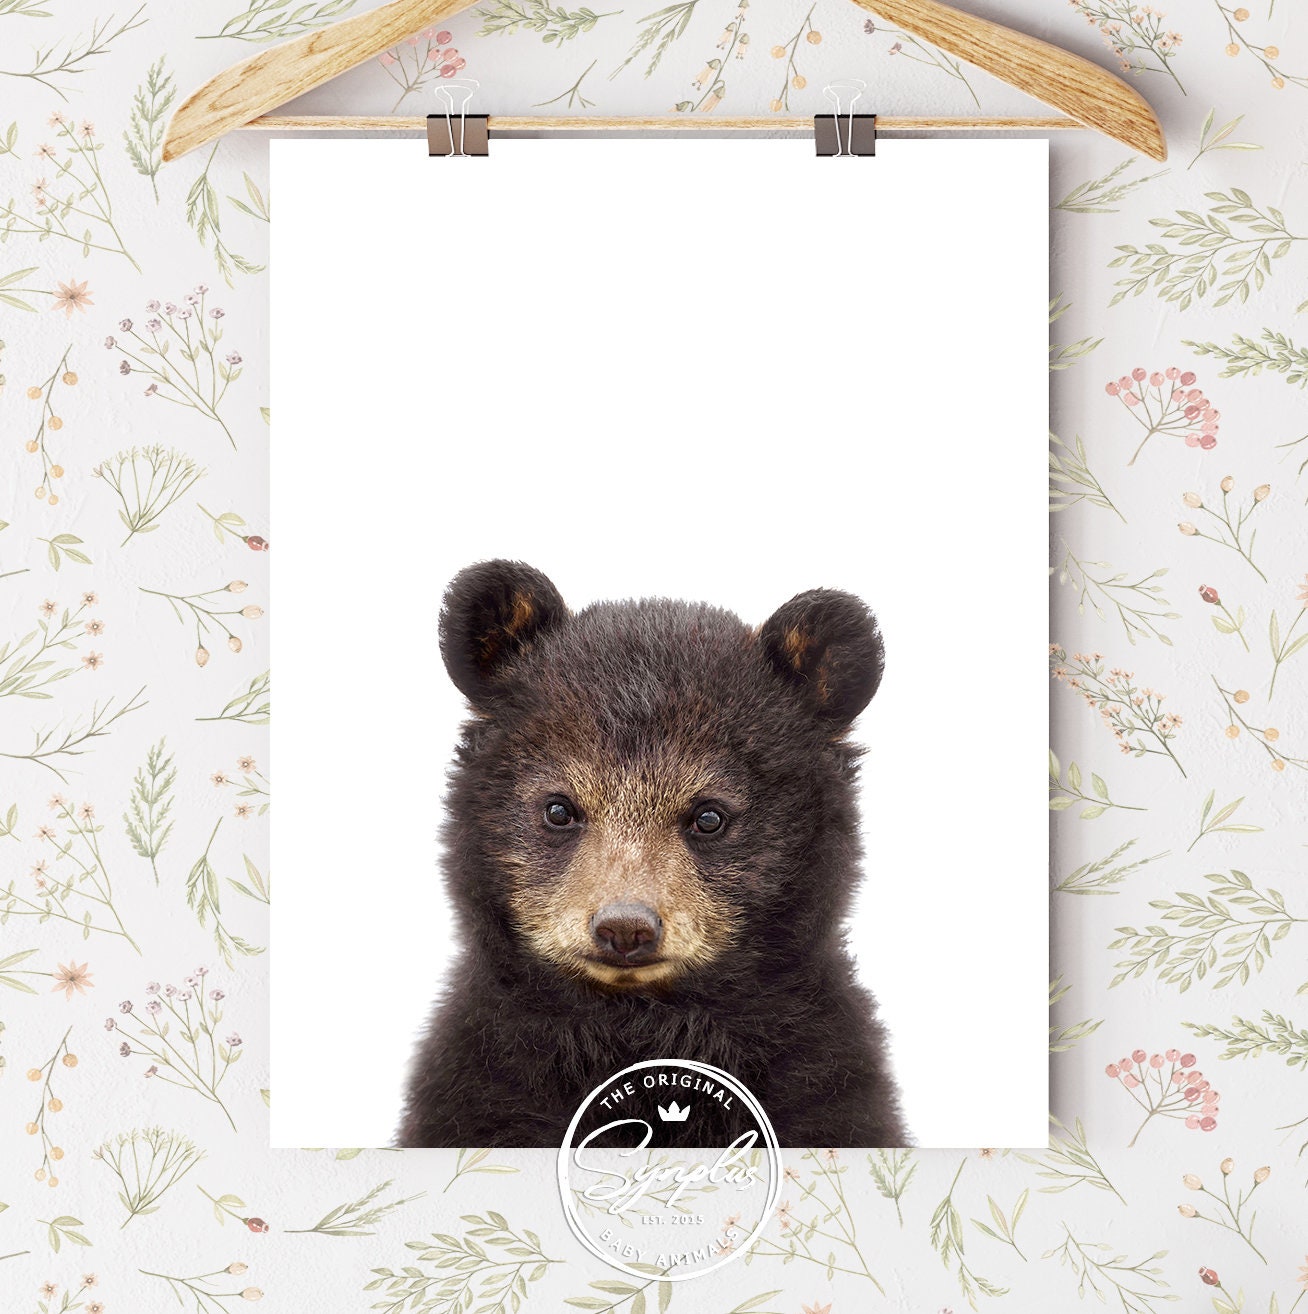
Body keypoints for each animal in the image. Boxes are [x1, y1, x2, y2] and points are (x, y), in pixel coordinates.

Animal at [397, 560, 908, 1148]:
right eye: (559, 809)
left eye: (708, 816)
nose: (625, 928)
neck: (642, 1028)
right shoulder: (482, 1087)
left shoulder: (824, 1086)